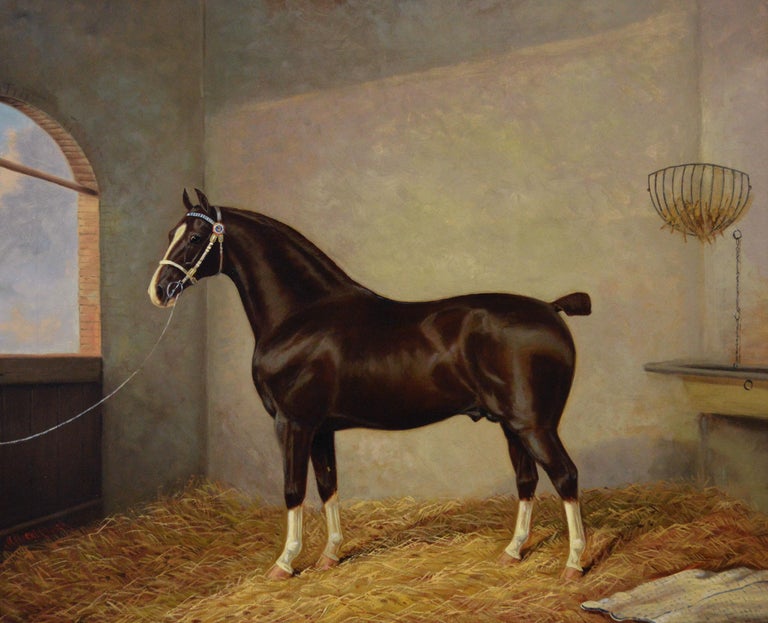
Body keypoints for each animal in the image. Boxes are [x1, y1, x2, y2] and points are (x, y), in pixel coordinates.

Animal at [148, 189, 591, 581]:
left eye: (194, 237)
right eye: (170, 232)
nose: (159, 290)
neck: (301, 314)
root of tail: (551, 309)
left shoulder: (292, 423)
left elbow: (293, 489)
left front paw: (285, 563)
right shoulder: (320, 428)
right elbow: (328, 486)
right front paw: (329, 556)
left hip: (534, 426)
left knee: (566, 476)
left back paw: (573, 565)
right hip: (512, 425)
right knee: (527, 481)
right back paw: (512, 552)